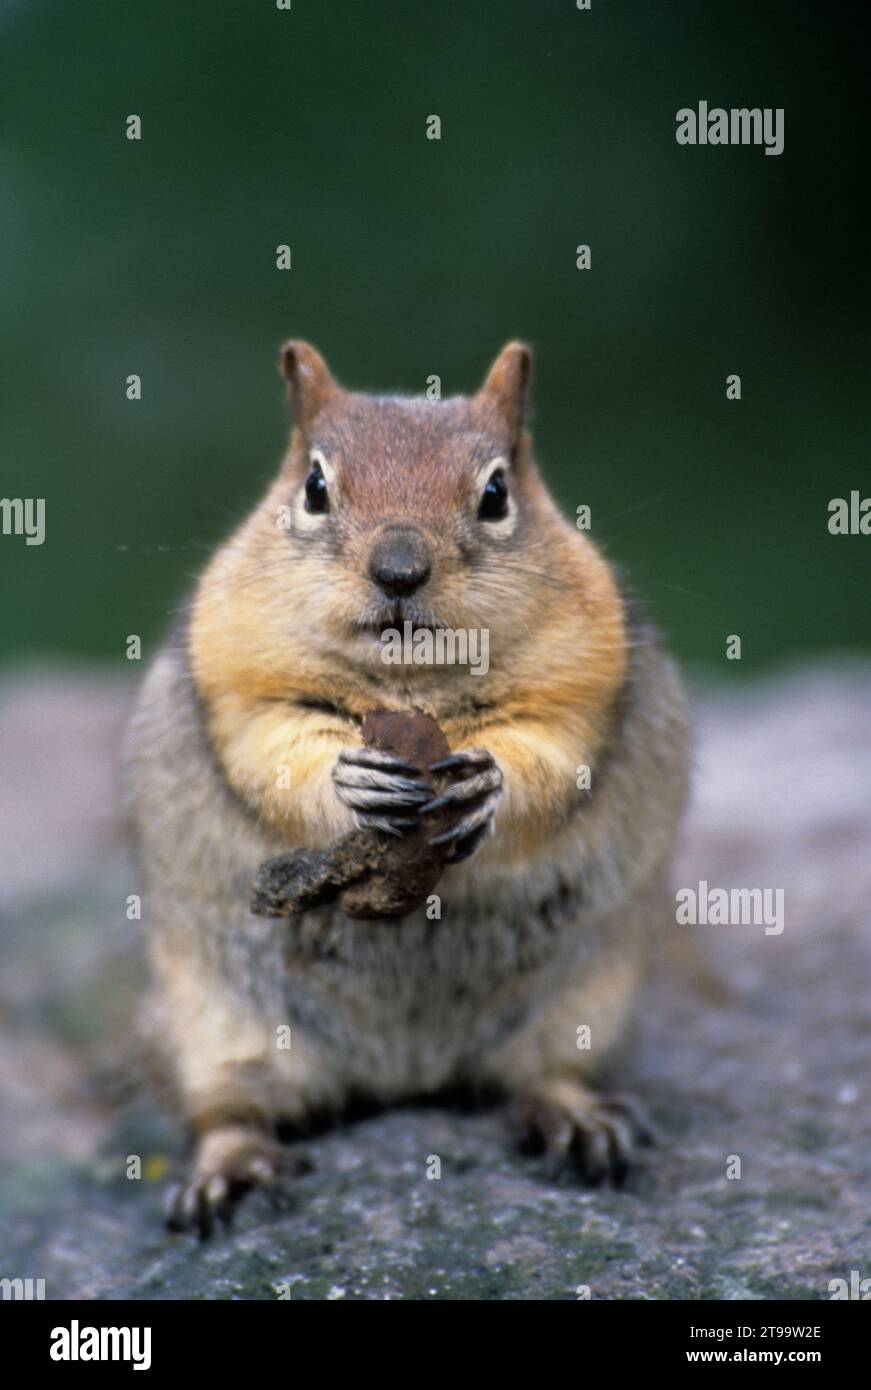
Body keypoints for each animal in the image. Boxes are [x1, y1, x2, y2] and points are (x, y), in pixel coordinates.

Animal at [125, 339, 690, 1234]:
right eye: (314, 487)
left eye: (495, 493)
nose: (398, 569)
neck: (411, 687)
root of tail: (405, 1076)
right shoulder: (238, 677)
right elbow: (273, 747)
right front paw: (352, 779)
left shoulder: (584, 681)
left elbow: (552, 752)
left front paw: (487, 786)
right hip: (208, 1029)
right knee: (227, 1111)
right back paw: (226, 1170)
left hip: (585, 1009)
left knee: (540, 1076)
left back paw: (576, 1122)